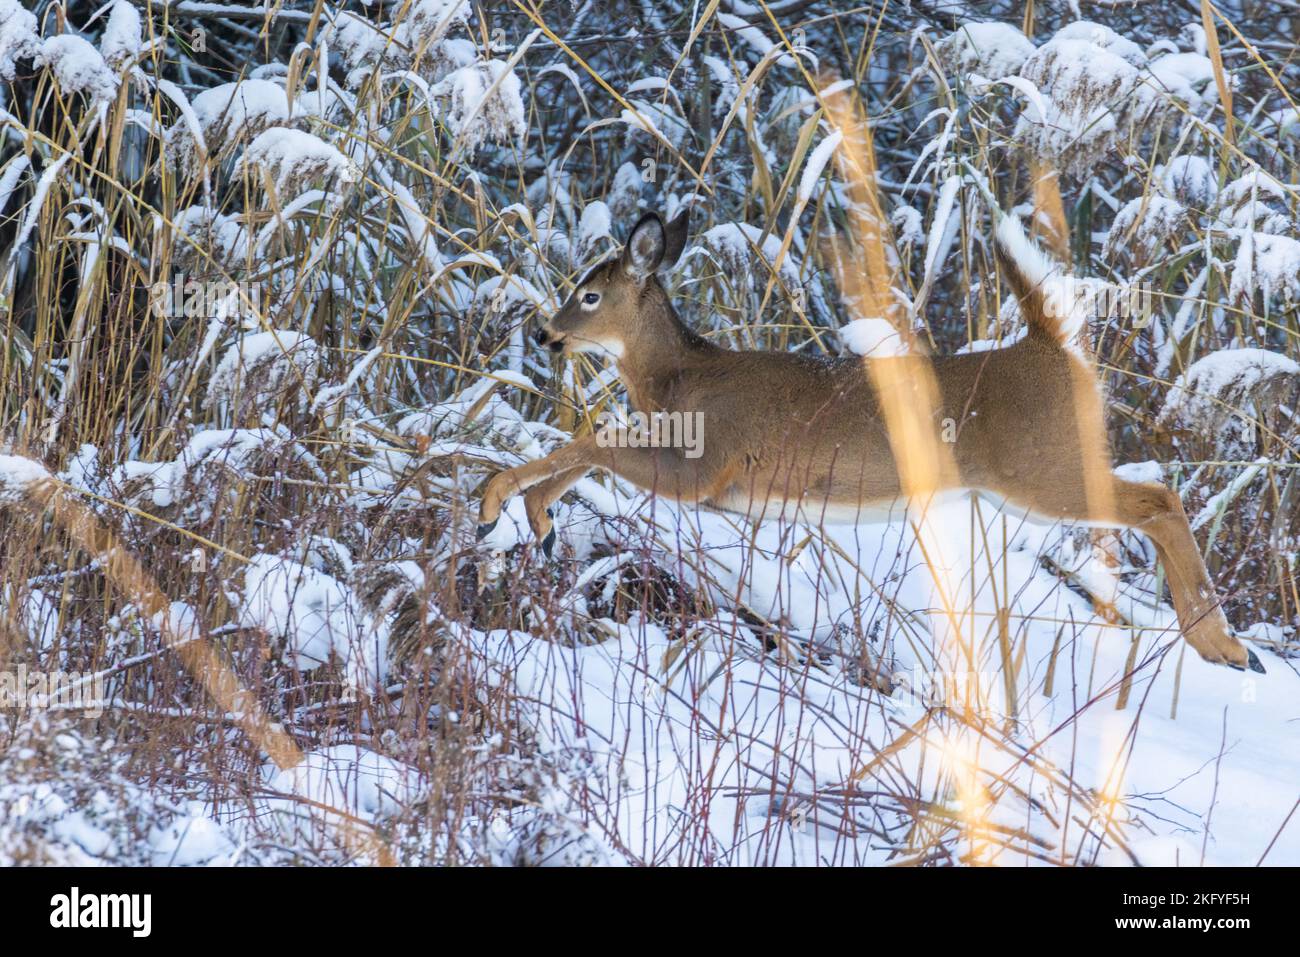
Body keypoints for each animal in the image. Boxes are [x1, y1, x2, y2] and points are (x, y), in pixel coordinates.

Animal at [477, 209, 1264, 675]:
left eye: (587, 295)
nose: (544, 334)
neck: (678, 378)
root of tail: (1048, 348)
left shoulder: (705, 465)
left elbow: (595, 438)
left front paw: (500, 506)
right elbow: (594, 441)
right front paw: (536, 522)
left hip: (1042, 469)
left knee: (1158, 499)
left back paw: (1224, 644)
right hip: (1031, 480)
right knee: (1158, 498)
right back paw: (1228, 648)